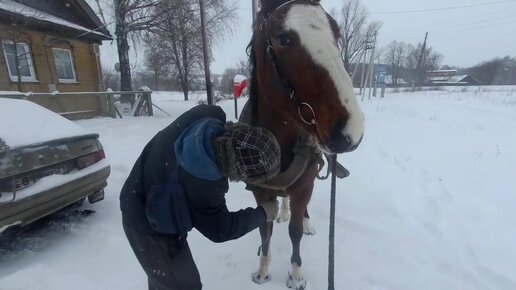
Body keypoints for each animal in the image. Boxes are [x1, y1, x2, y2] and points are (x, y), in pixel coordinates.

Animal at [241, 0, 362, 288]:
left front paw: (296, 275)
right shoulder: (260, 192)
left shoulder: (304, 186)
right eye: (283, 39)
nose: (351, 130)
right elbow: (264, 229)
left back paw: (305, 223)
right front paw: (263, 270)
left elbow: (294, 231)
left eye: (336, 32)